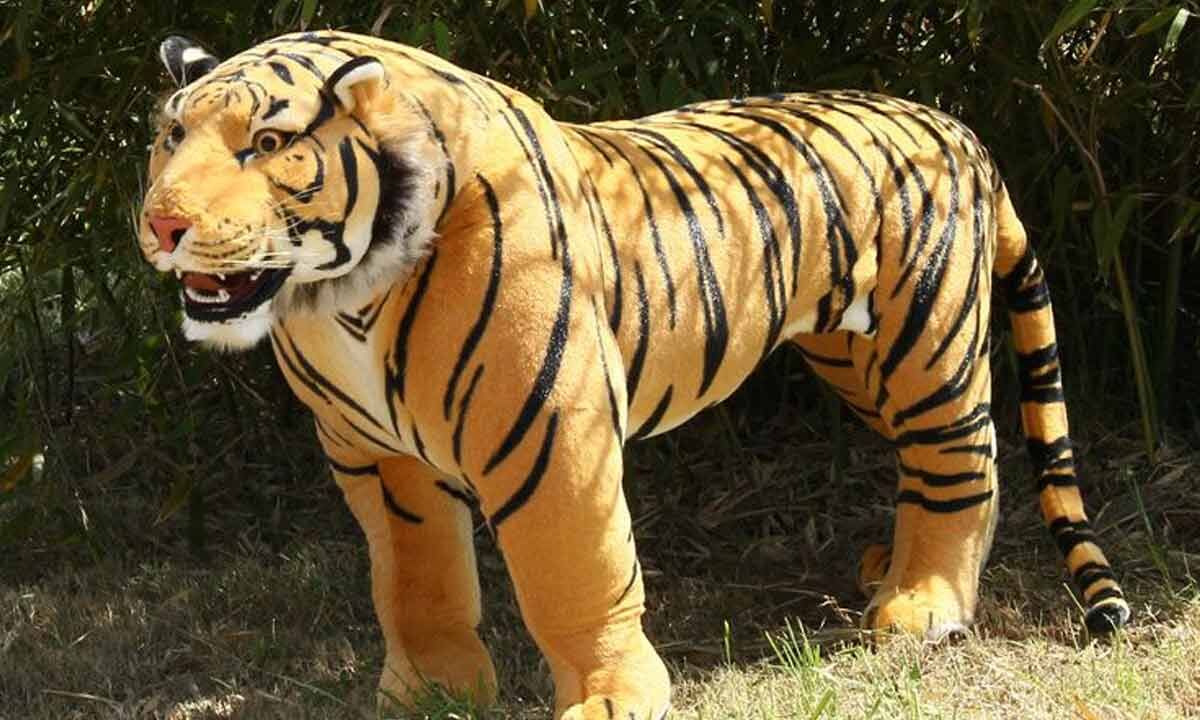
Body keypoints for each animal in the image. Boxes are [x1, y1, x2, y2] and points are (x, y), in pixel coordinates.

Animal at [138, 30, 1131, 719]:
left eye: (268, 144)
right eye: (172, 135)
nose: (160, 225)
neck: (341, 293)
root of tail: (958, 129)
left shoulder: (550, 433)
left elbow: (574, 575)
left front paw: (608, 696)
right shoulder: (379, 457)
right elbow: (412, 581)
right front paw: (432, 690)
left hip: (926, 343)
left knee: (966, 461)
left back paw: (922, 606)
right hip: (857, 358)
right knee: (928, 468)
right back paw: (889, 568)